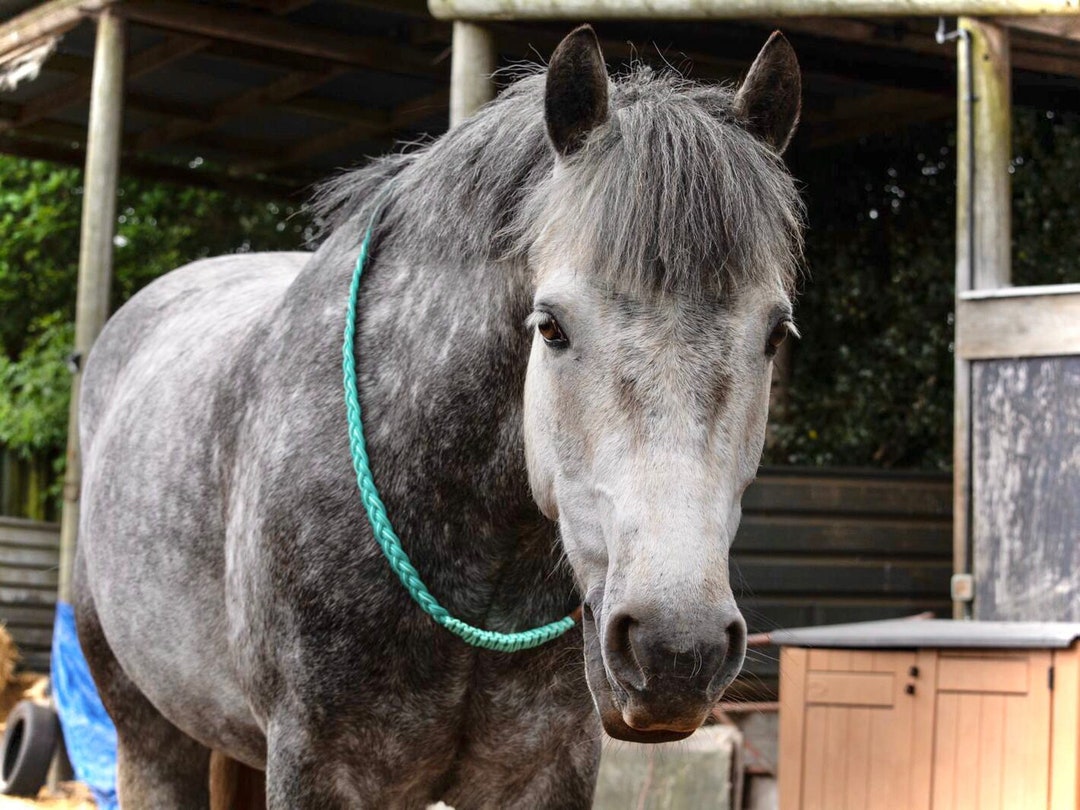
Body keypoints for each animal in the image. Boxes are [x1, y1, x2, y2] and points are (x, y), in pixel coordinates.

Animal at [73, 25, 803, 808]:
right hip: (148, 732)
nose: (675, 650)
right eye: (551, 326)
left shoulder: (545, 769)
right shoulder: (315, 767)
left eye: (775, 334)